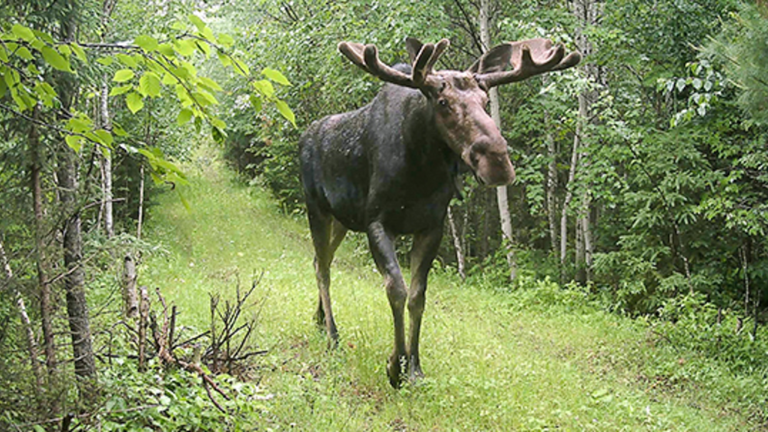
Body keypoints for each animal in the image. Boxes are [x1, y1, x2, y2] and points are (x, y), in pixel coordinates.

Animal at [299, 37, 580, 387]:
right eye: (443, 103)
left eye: (485, 101)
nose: (498, 162)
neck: (421, 169)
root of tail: (304, 136)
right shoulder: (377, 221)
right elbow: (396, 289)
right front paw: (395, 365)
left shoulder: (432, 226)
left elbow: (418, 295)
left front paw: (414, 367)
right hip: (317, 210)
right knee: (323, 268)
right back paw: (333, 335)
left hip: (342, 219)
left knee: (318, 261)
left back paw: (320, 319)